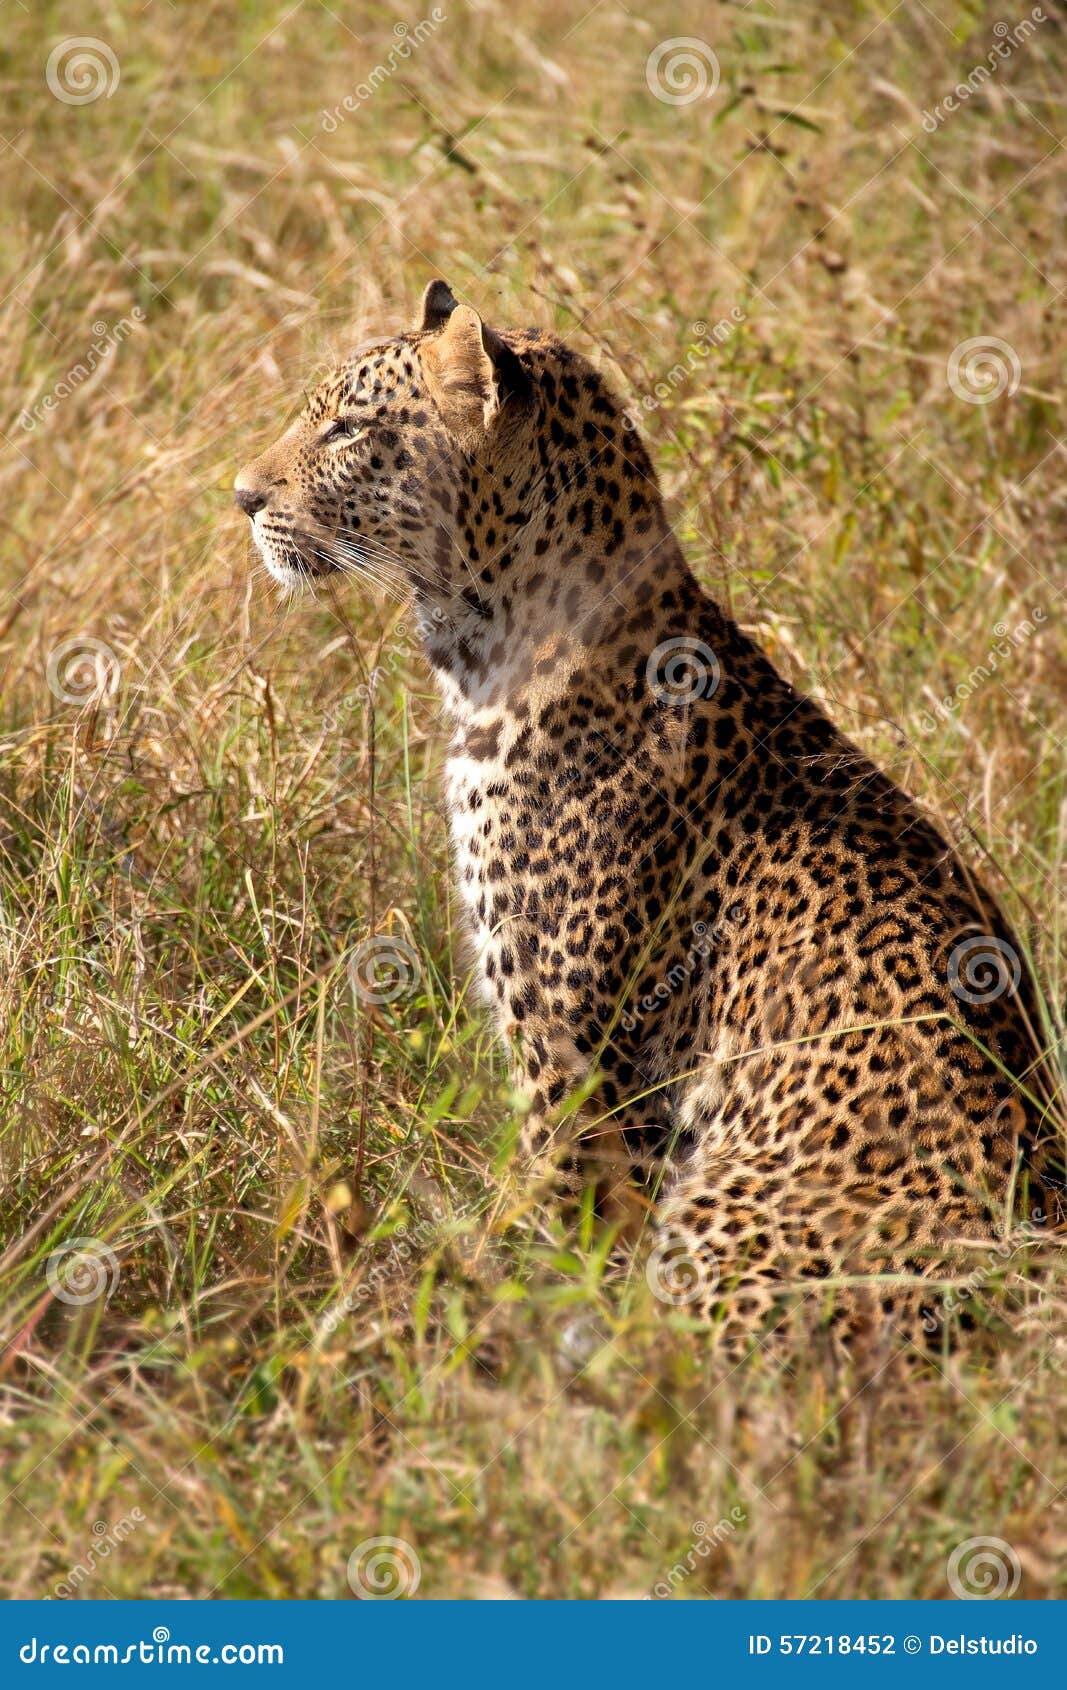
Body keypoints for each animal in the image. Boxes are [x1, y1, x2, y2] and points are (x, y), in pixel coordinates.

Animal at [235, 279, 1063, 1348]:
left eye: (345, 429)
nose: (242, 496)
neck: (485, 656)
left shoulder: (564, 1045)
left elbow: (560, 1231)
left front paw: (516, 1340)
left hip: (721, 1228)